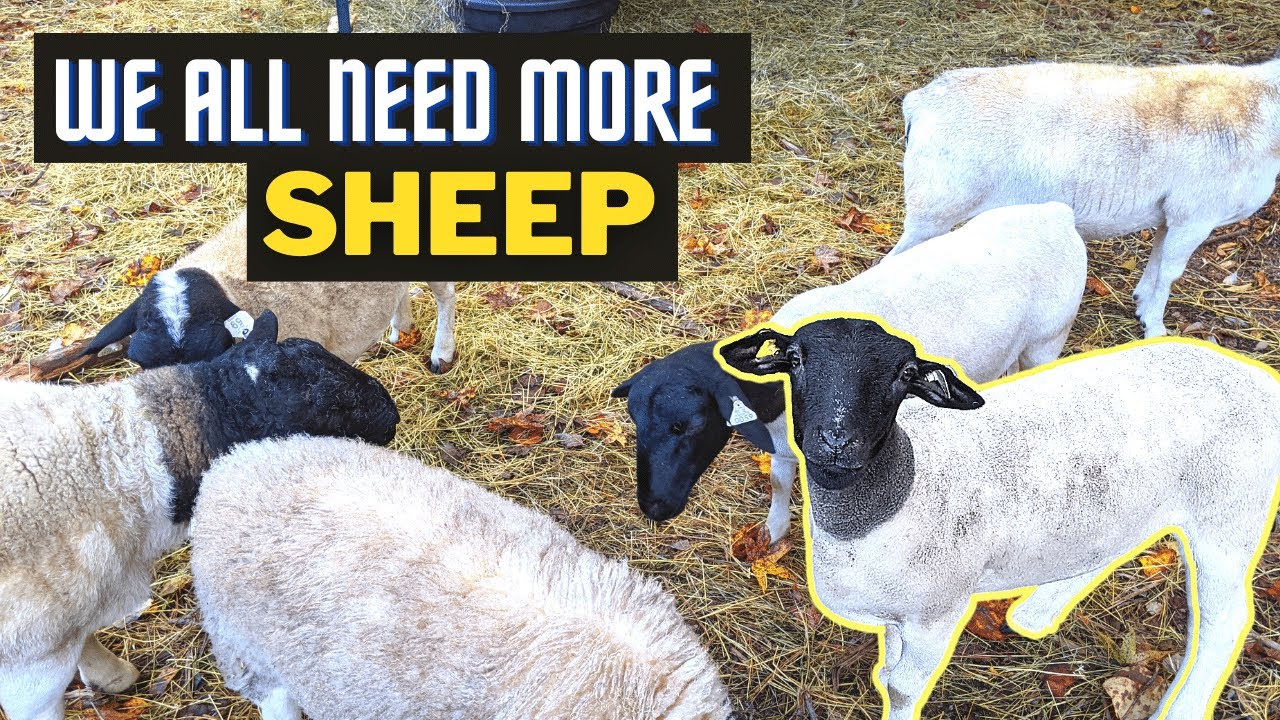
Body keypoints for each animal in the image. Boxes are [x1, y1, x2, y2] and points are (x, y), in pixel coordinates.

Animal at [0, 311, 400, 720]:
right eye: (327, 405)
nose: (392, 415)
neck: (113, 458)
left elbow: (85, 638)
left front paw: (112, 675)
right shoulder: (31, 667)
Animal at [612, 202, 1086, 543]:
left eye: (687, 425)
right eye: (634, 421)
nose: (653, 508)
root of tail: (1057, 213)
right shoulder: (785, 444)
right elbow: (780, 482)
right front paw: (774, 531)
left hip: (1048, 339)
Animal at [717, 315, 1280, 720]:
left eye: (905, 375)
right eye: (793, 358)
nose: (836, 440)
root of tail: (1257, 379)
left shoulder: (937, 612)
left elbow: (901, 687)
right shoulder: (900, 615)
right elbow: (886, 670)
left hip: (1229, 515)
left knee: (1227, 619)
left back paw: (1185, 706)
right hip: (1124, 498)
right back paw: (1038, 611)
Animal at [889, 57, 1280, 338]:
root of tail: (919, 103)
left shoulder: (1171, 213)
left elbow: (1157, 261)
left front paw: (1142, 306)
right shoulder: (1195, 214)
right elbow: (1171, 272)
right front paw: (1155, 328)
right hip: (935, 205)